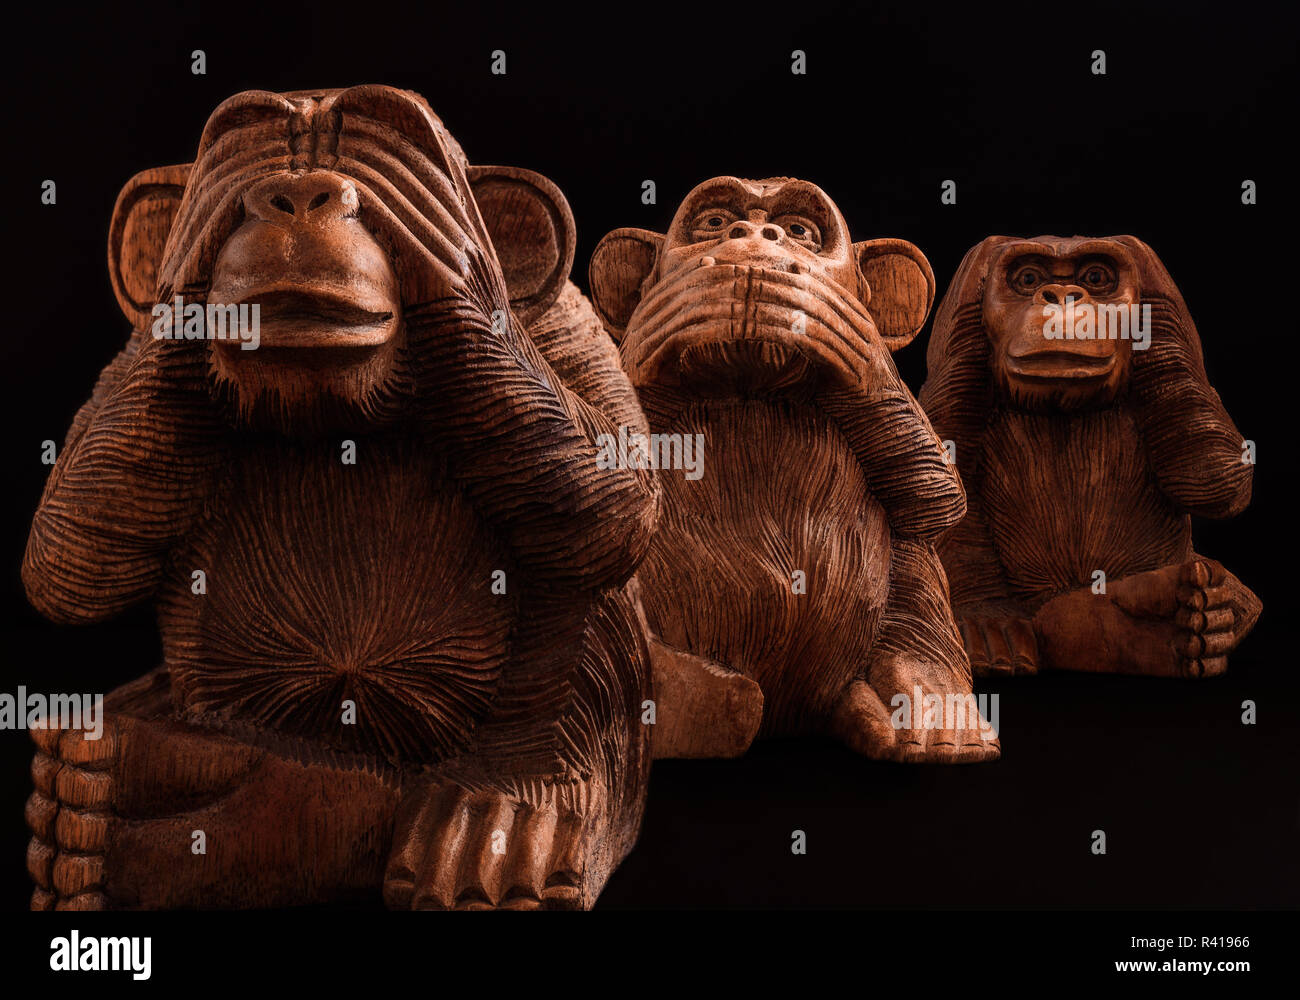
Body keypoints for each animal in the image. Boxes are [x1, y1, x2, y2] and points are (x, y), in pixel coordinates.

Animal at [22, 86, 660, 910]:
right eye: (244, 150)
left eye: (383, 142)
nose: (298, 194)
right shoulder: (123, 366)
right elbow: (70, 554)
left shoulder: (569, 327)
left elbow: (615, 506)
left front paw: (446, 249)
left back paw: (504, 812)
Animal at [588, 176, 999, 764]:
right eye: (714, 223)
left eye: (802, 231)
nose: (755, 235)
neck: (753, 384)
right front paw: (673, 317)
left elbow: (932, 495)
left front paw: (848, 338)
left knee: (914, 565)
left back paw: (931, 701)